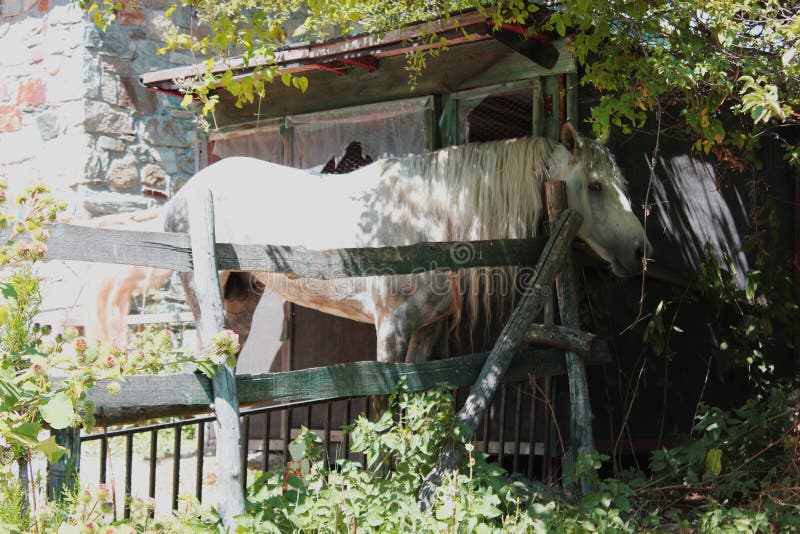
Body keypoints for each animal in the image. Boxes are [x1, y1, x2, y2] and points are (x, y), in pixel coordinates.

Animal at [163, 123, 653, 365]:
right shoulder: (390, 329)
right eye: (595, 186)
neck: (429, 220)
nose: (640, 251)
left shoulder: (427, 330)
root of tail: (186, 192)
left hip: (240, 299)